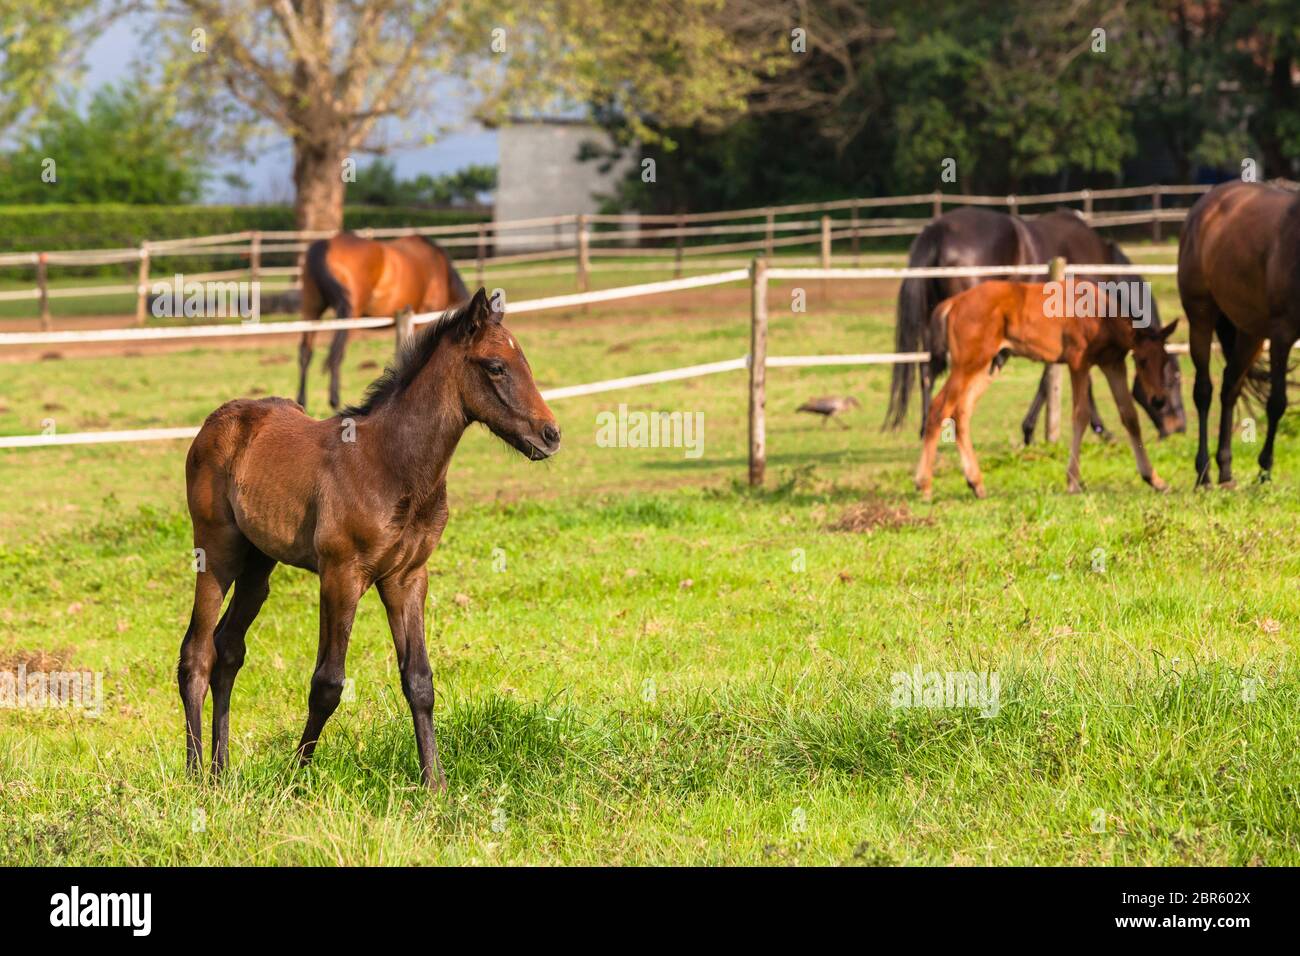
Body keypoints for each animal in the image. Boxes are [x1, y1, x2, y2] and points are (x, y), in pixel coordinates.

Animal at [179, 289, 560, 791]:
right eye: (496, 366)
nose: (550, 434)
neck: (391, 464)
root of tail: (215, 421)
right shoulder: (341, 575)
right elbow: (327, 684)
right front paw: (294, 779)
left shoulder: (407, 577)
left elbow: (419, 680)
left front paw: (434, 784)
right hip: (217, 552)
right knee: (197, 653)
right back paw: (195, 775)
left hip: (259, 562)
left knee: (228, 649)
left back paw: (222, 772)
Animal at [298, 232, 470, 411]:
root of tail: (326, 245)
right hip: (349, 313)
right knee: (336, 353)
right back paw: (334, 400)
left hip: (311, 309)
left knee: (306, 352)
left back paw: (302, 400)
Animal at [886, 207, 1185, 443]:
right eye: (1174, 377)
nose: (1179, 427)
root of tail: (938, 231)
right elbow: (1057, 380)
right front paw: (1094, 429)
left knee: (927, 370)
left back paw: (928, 426)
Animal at [914, 280, 1178, 500]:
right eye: (1141, 360)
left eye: (1165, 360)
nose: (1158, 400)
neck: (1100, 314)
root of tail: (953, 303)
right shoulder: (1078, 362)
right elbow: (1080, 415)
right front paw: (1072, 481)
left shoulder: (1113, 364)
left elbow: (1130, 416)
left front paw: (1154, 479)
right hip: (968, 363)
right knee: (939, 408)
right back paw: (924, 484)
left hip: (991, 363)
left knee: (962, 411)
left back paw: (976, 483)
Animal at [1177, 180, 1300, 486]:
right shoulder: (1282, 336)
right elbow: (1277, 402)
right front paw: (1265, 472)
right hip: (1200, 318)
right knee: (1204, 391)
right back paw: (1204, 473)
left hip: (1250, 333)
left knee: (1230, 388)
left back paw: (1225, 470)